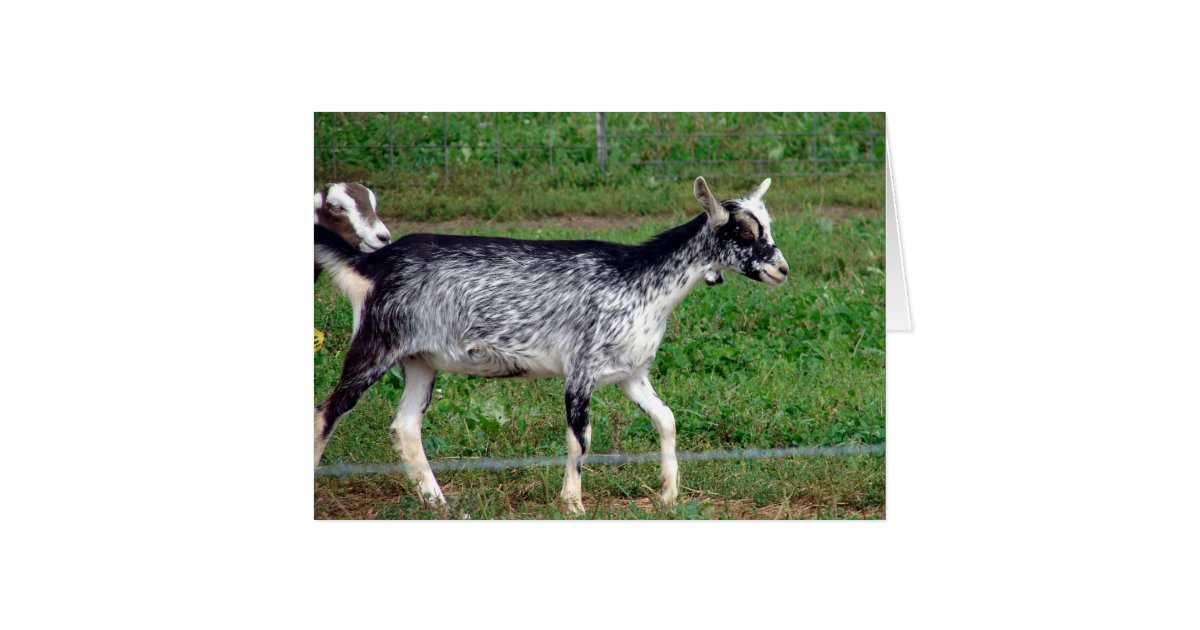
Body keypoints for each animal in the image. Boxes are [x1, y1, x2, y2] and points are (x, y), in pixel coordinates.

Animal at [313, 177, 789, 514]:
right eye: (744, 232)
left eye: (766, 226)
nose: (782, 269)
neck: (640, 280)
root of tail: (372, 264)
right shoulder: (581, 370)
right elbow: (581, 439)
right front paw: (574, 504)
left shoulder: (631, 374)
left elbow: (667, 420)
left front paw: (669, 496)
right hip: (376, 344)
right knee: (328, 411)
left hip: (420, 362)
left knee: (405, 426)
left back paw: (439, 502)